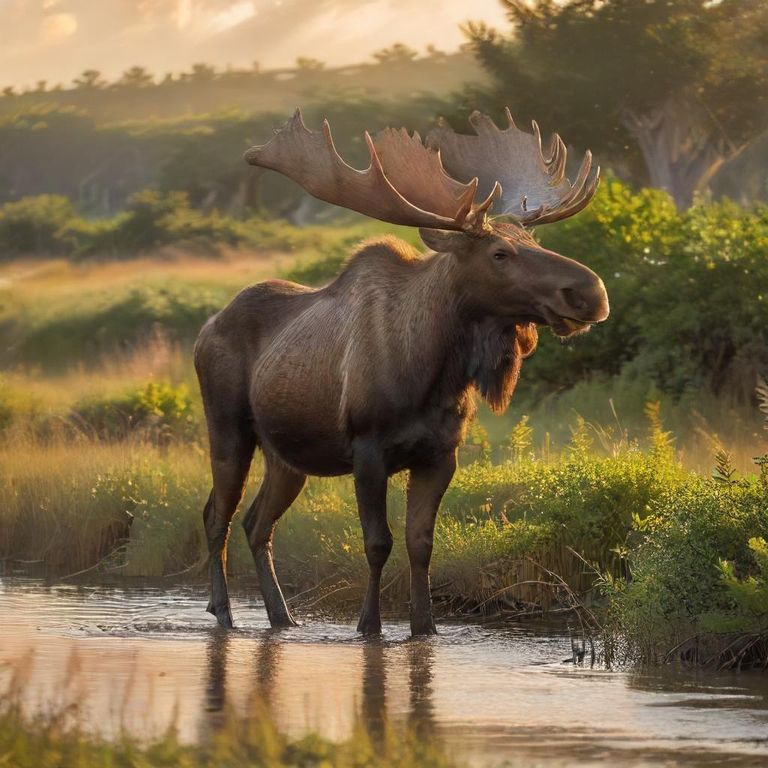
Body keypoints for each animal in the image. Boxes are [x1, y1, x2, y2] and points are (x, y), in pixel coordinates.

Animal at [195, 108, 609, 636]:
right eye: (499, 254)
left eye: (532, 239)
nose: (591, 292)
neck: (433, 373)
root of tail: (207, 327)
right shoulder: (367, 449)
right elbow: (378, 543)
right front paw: (368, 626)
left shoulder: (440, 454)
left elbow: (421, 544)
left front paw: (424, 628)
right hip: (228, 428)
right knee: (216, 515)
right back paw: (224, 612)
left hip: (286, 456)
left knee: (256, 523)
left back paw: (283, 618)